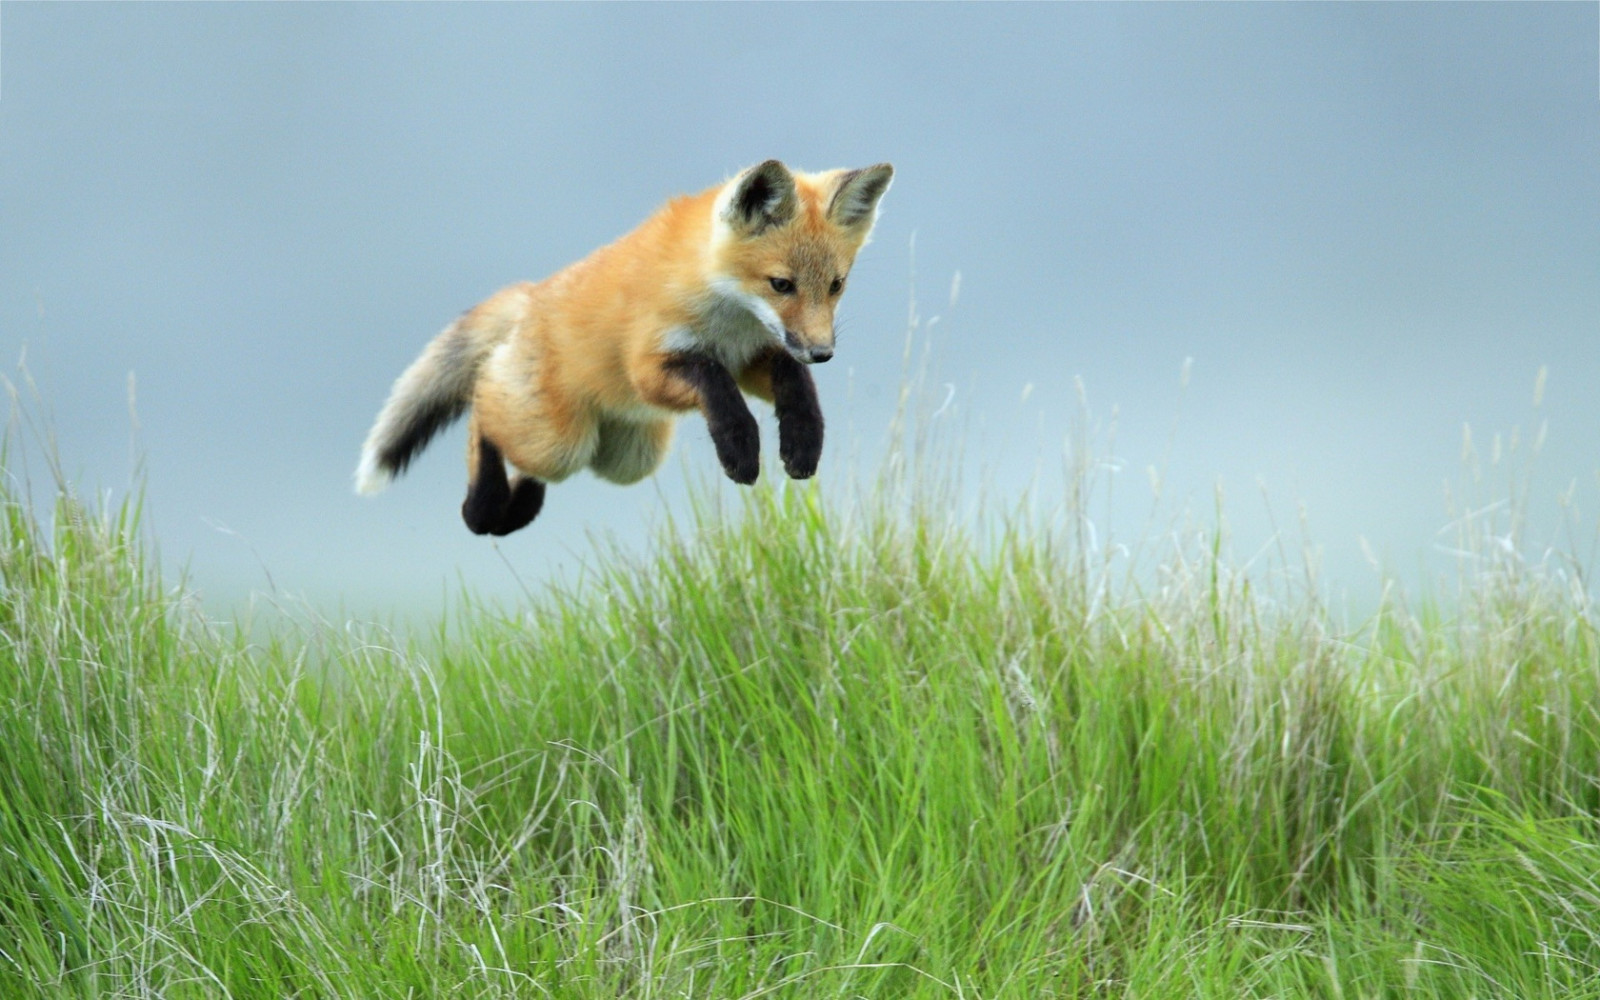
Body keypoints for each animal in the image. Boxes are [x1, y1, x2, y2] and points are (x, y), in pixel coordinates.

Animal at [354, 159, 893, 536]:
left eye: (836, 286)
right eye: (781, 284)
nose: (823, 352)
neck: (729, 320)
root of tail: (531, 294)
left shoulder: (754, 355)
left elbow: (794, 382)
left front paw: (803, 438)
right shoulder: (650, 368)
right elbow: (713, 381)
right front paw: (739, 445)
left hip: (626, 459)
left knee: (527, 459)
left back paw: (513, 511)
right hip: (559, 441)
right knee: (483, 408)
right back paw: (480, 506)